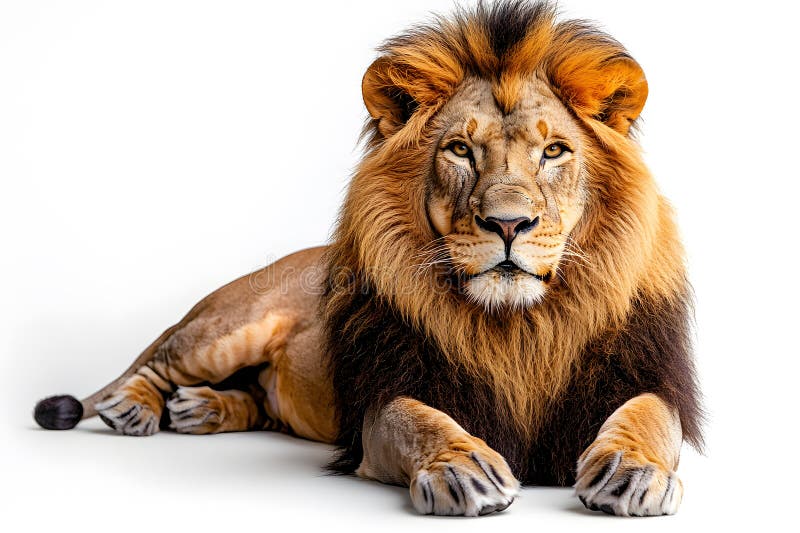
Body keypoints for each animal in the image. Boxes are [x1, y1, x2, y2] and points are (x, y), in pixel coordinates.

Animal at [33, 0, 702, 517]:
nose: (508, 223)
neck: (518, 327)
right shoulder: (384, 398)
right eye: (460, 150)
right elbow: (416, 420)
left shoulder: (640, 375)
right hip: (225, 329)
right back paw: (135, 407)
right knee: (156, 363)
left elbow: (649, 416)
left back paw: (201, 408)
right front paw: (463, 468)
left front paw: (633, 470)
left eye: (555, 151)